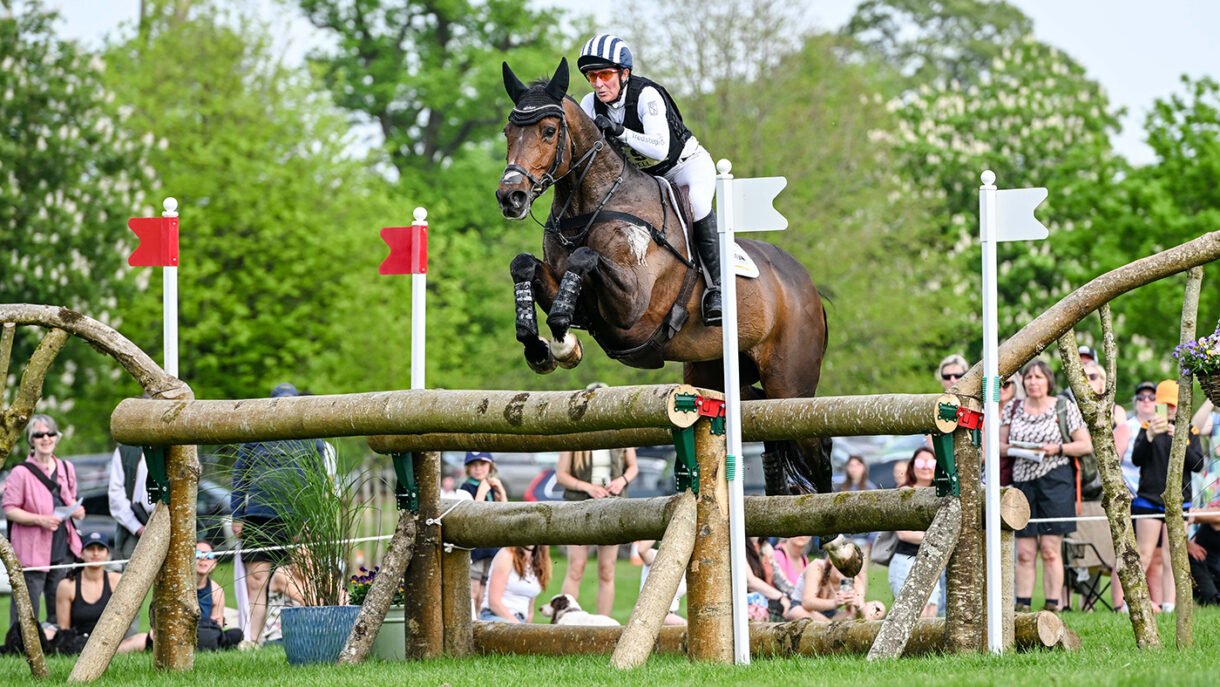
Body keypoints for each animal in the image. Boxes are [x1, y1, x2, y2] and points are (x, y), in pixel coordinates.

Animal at [497, 57, 834, 499]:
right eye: (508, 132)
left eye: (549, 131)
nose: (510, 197)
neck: (594, 204)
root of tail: (808, 288)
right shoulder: (587, 304)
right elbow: (524, 264)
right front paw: (541, 344)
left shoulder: (632, 311)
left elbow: (585, 258)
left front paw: (560, 336)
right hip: (715, 371)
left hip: (790, 382)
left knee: (816, 446)